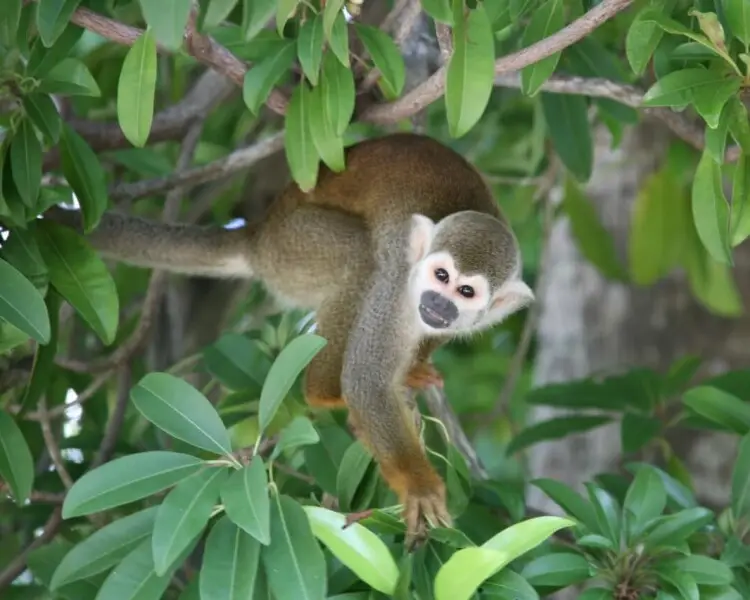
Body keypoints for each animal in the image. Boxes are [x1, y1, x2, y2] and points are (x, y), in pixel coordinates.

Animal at [43, 132, 534, 547]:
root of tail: (259, 235)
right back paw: (324, 393)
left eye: (466, 292)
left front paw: (413, 368)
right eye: (441, 276)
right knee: (362, 258)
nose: (437, 303)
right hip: (295, 249)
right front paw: (419, 485)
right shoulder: (398, 284)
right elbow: (366, 380)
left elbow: (426, 341)